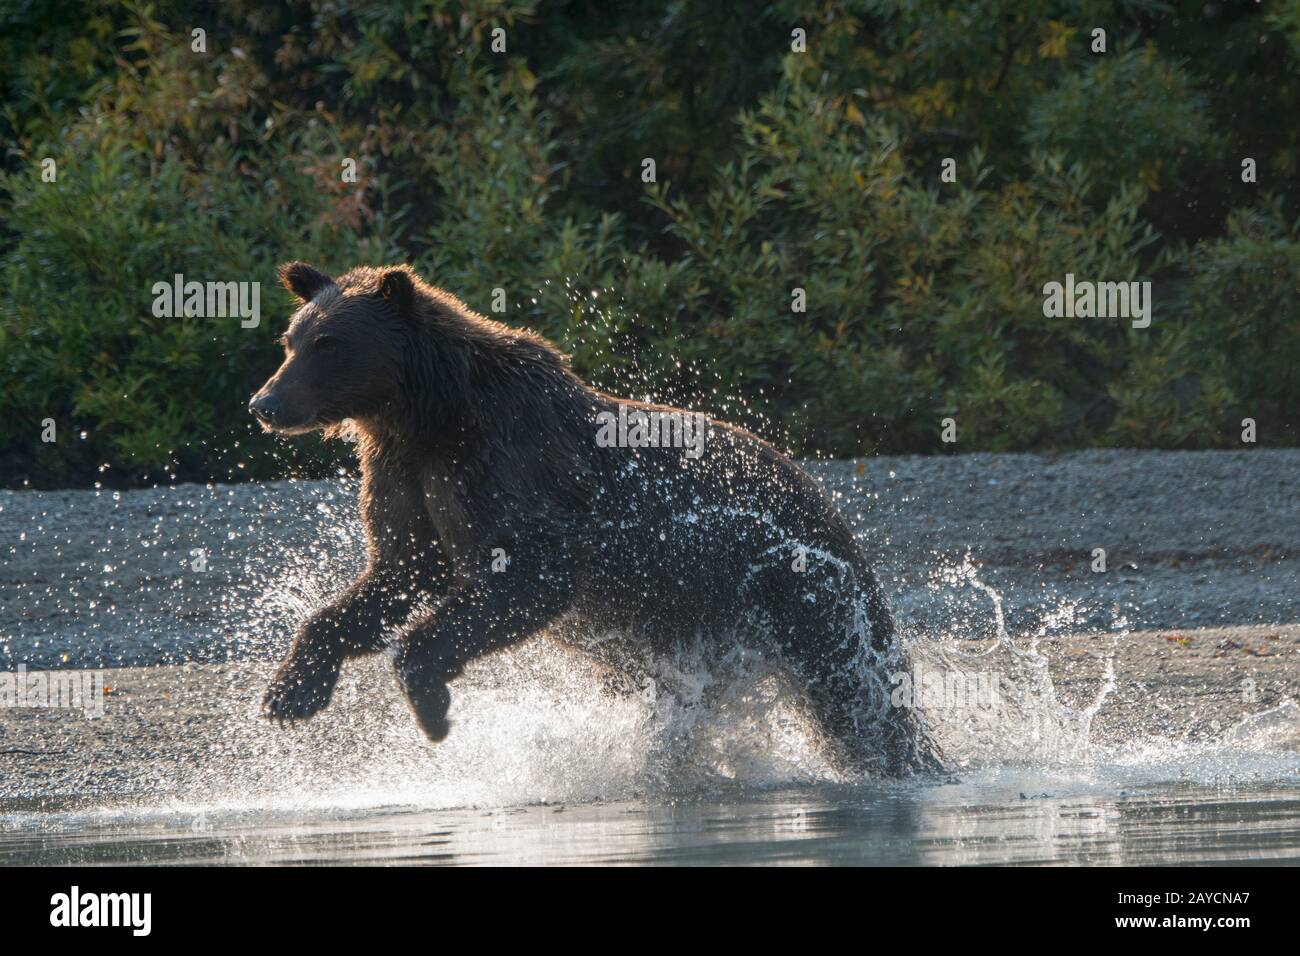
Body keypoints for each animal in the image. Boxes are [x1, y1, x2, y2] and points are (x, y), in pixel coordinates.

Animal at [249, 262, 938, 776]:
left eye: (329, 344)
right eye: (291, 339)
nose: (266, 402)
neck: (426, 414)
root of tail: (833, 510)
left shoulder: (512, 466)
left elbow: (525, 576)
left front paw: (432, 707)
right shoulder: (406, 479)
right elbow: (394, 575)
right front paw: (290, 692)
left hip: (785, 580)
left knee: (852, 691)